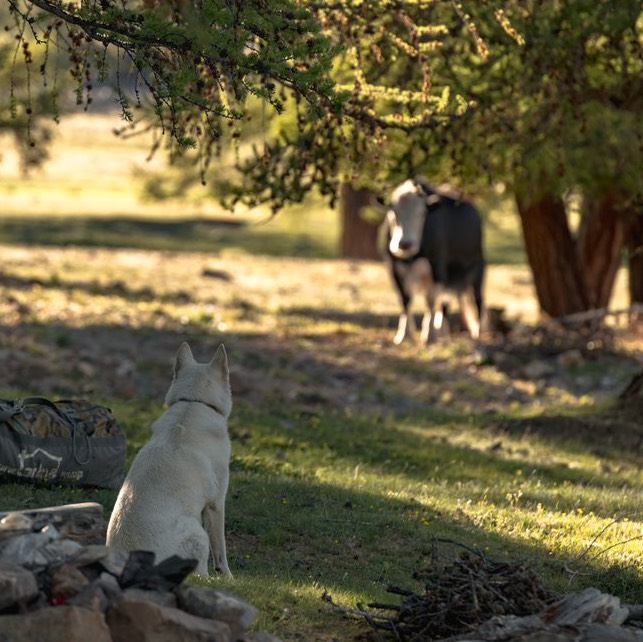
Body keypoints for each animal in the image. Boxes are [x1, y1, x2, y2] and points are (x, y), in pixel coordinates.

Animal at [105, 340, 234, 576]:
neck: (193, 402)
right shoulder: (216, 503)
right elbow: (220, 548)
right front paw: (228, 576)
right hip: (198, 534)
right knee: (201, 572)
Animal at [382, 175, 484, 344]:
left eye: (422, 213)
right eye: (393, 212)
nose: (404, 244)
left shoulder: (437, 267)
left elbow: (430, 300)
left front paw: (428, 336)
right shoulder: (394, 268)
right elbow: (405, 299)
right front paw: (404, 335)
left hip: (476, 268)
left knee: (477, 300)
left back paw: (478, 333)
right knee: (445, 302)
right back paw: (443, 332)